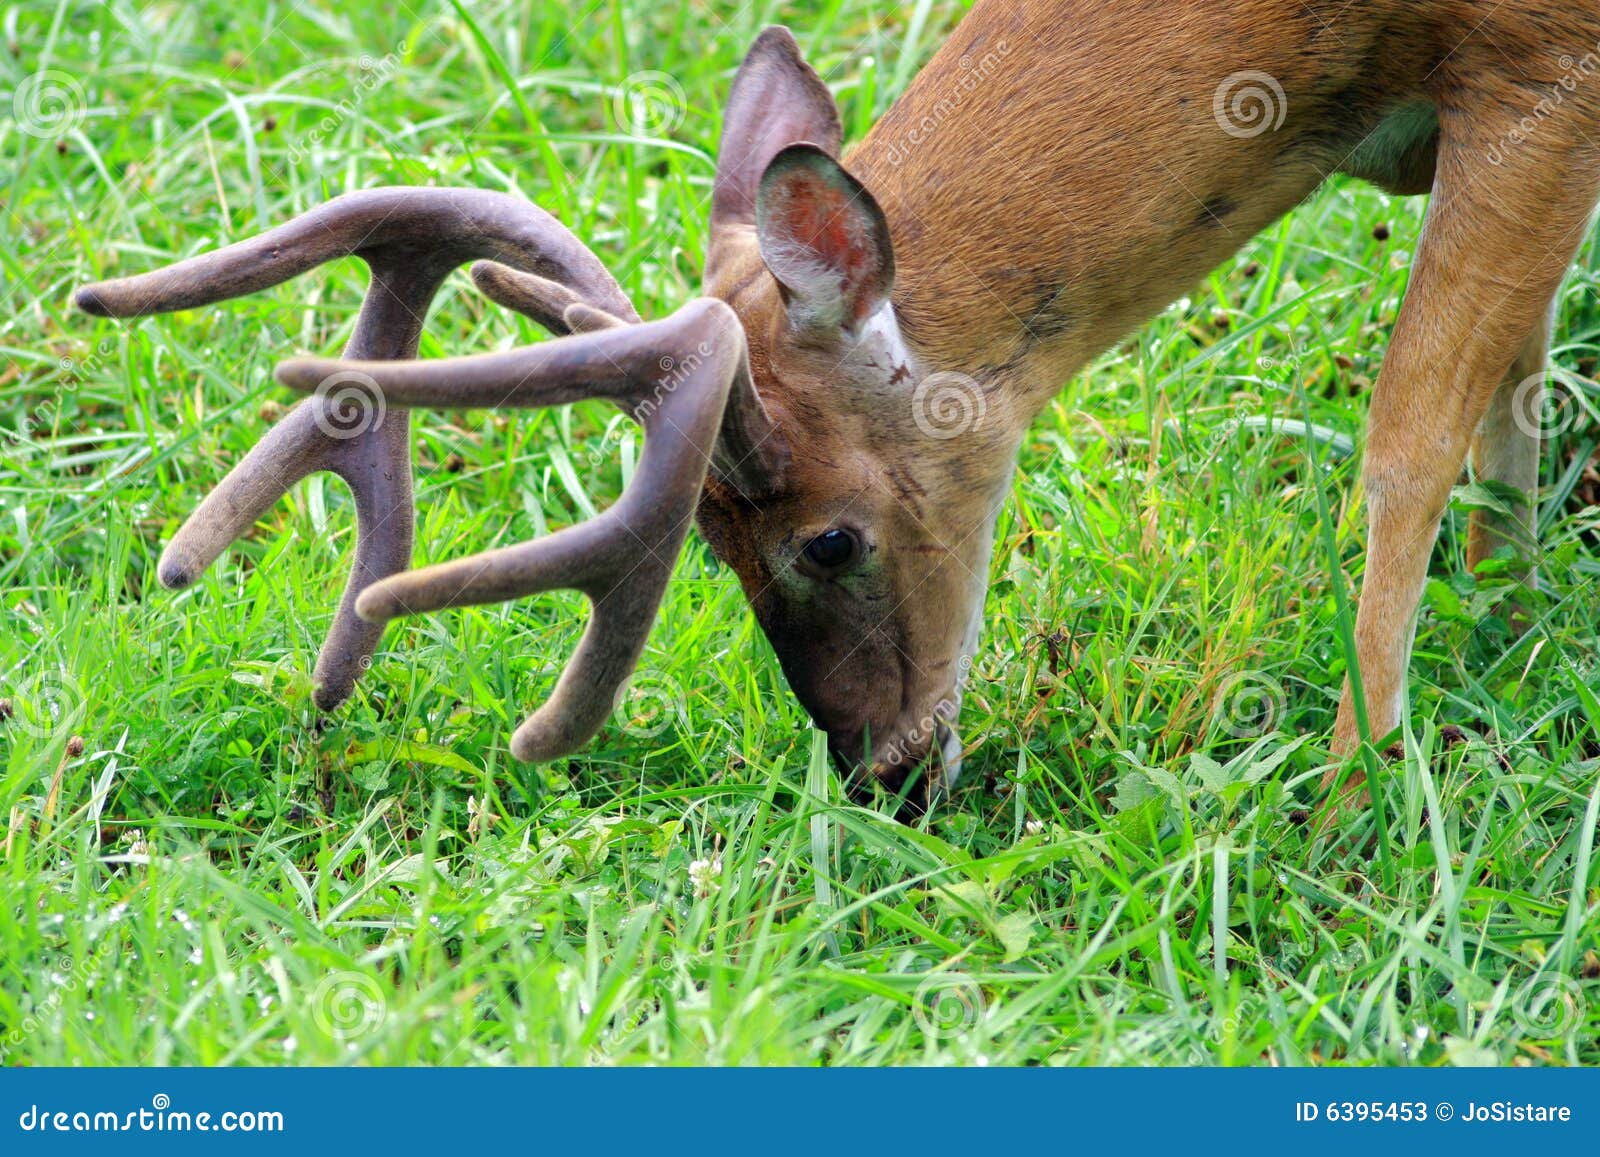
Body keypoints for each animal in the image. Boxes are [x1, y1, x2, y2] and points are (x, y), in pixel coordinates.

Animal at [73, 1, 1600, 815]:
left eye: (829, 537)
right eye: (705, 540)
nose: (883, 772)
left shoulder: (1537, 67)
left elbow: (1410, 437)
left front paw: (1354, 783)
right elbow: (1517, 379)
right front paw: (1511, 616)